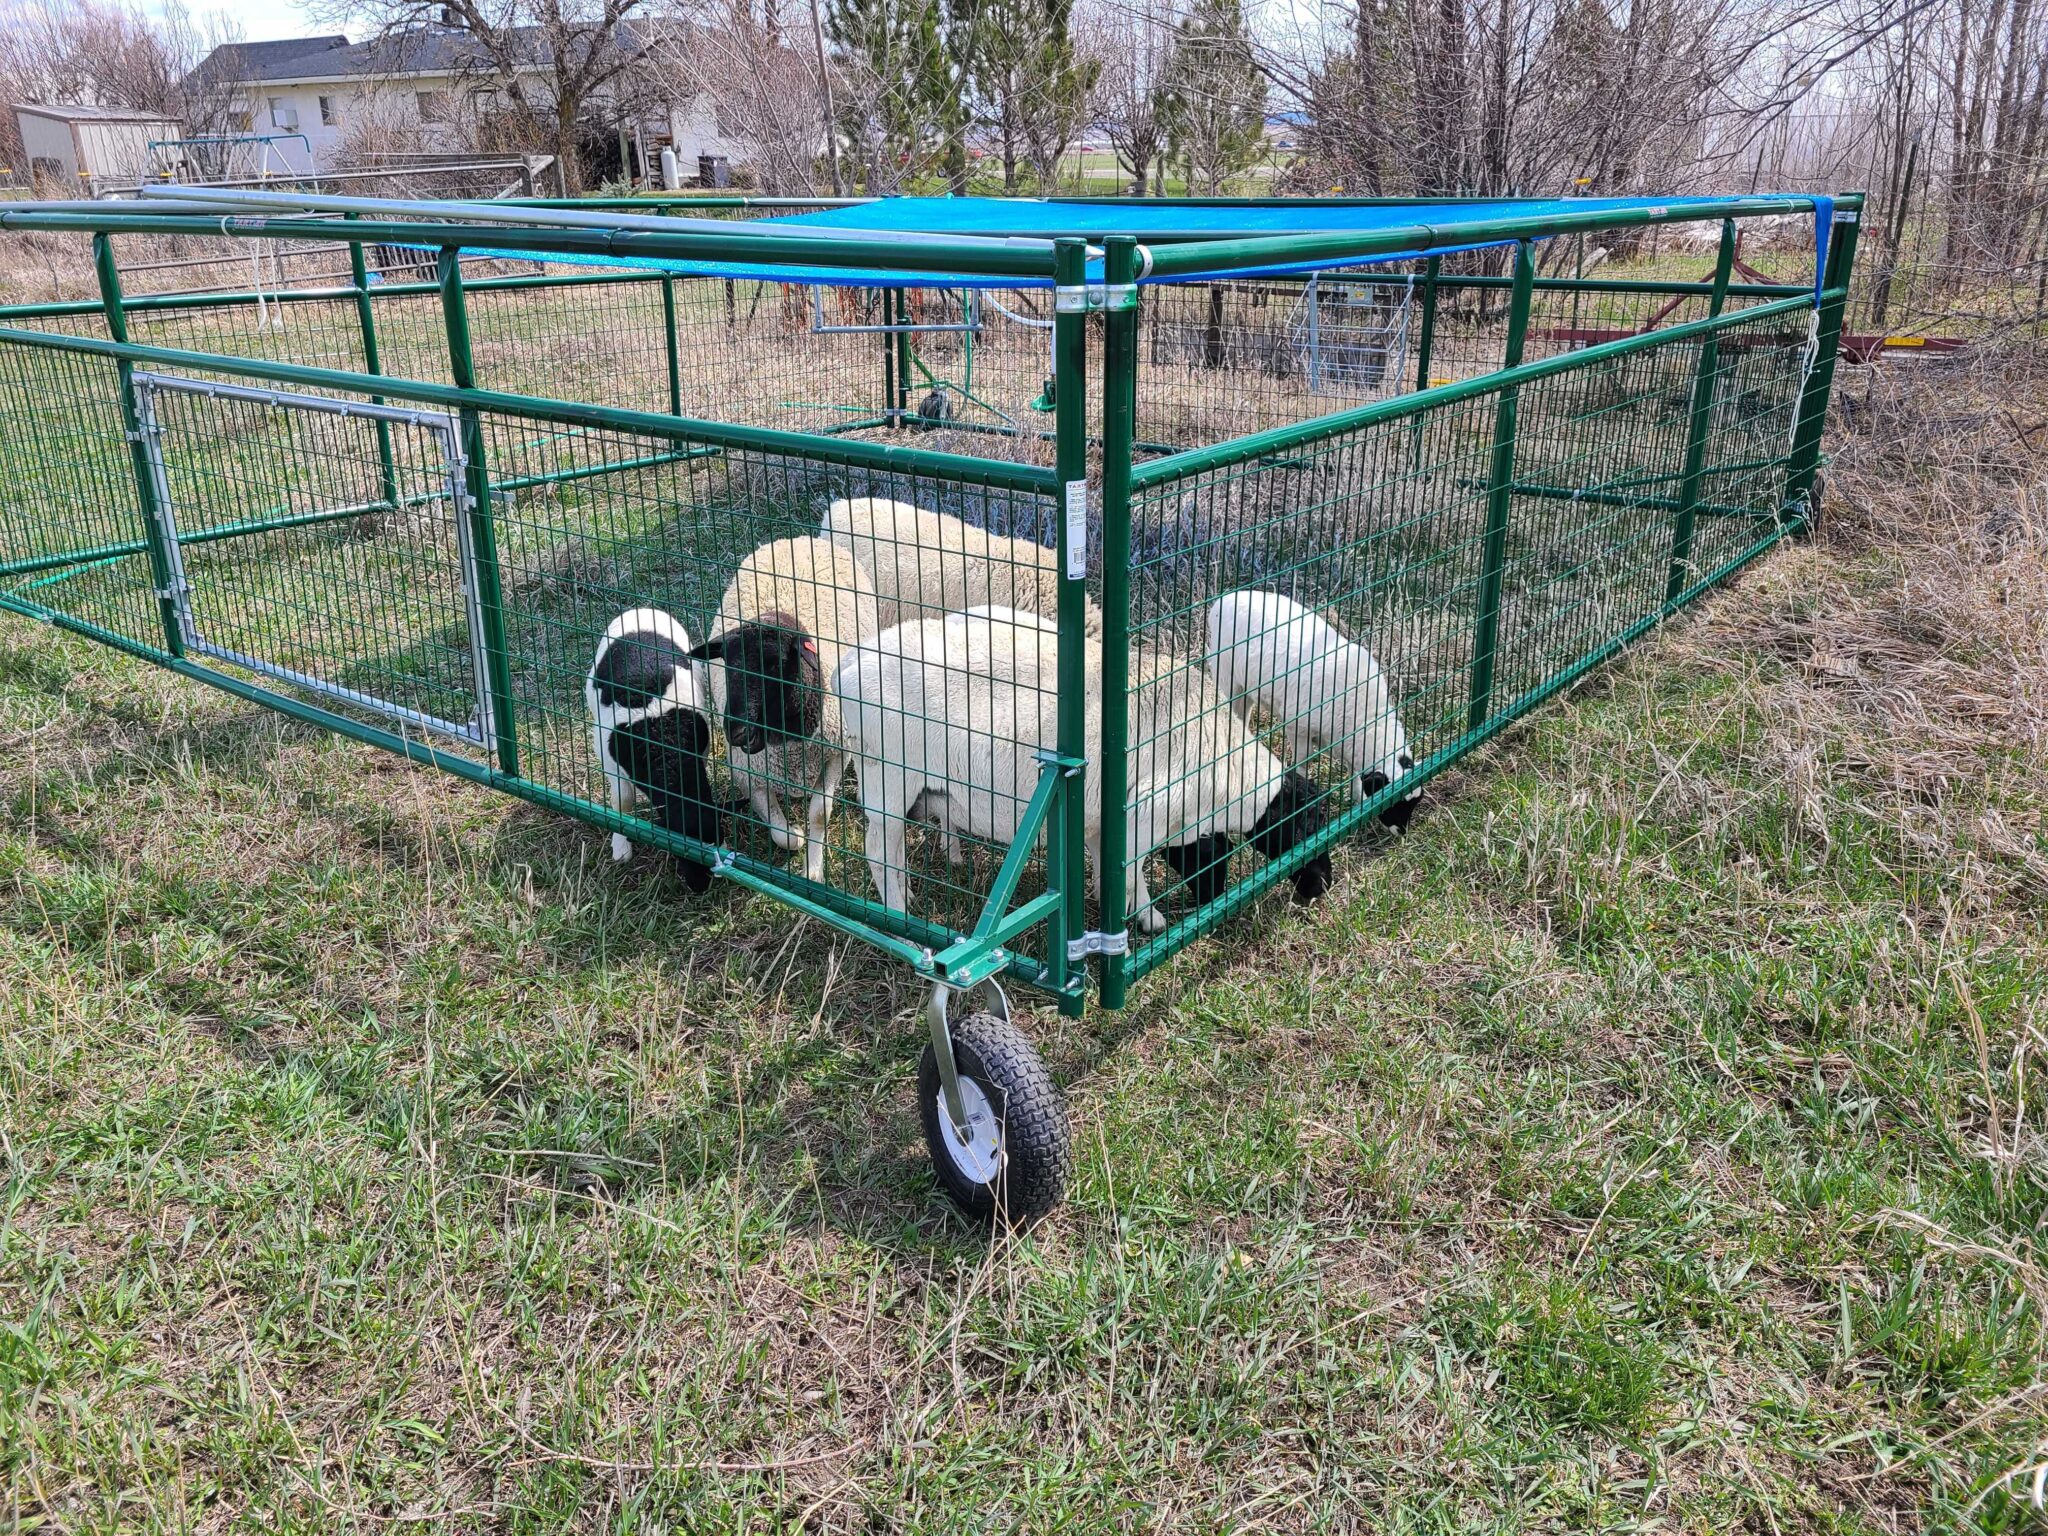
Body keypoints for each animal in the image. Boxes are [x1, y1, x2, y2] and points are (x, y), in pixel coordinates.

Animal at [583, 607, 723, 891]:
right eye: (681, 850)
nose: (699, 887)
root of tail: (642, 608)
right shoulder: (610, 759)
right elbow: (622, 801)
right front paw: (621, 848)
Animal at [690, 536, 880, 884]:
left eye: (776, 664)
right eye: (727, 663)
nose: (735, 731)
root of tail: (801, 539)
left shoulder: (835, 754)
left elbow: (819, 814)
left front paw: (813, 869)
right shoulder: (747, 772)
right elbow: (782, 834)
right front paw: (795, 836)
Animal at [832, 605, 1331, 934]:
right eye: (1309, 825)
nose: (1321, 887)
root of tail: (851, 662)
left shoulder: (1098, 817)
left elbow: (1104, 862)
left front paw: (1101, 896)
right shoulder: (1141, 816)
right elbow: (1132, 872)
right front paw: (1146, 920)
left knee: (895, 848)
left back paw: (915, 889)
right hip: (888, 777)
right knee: (878, 849)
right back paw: (898, 913)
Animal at [1205, 590, 1423, 832]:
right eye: (1393, 802)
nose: (1401, 832)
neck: (1366, 717)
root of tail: (1227, 597)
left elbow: (1354, 772)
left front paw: (1358, 802)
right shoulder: (1298, 726)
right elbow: (1303, 761)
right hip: (1227, 678)